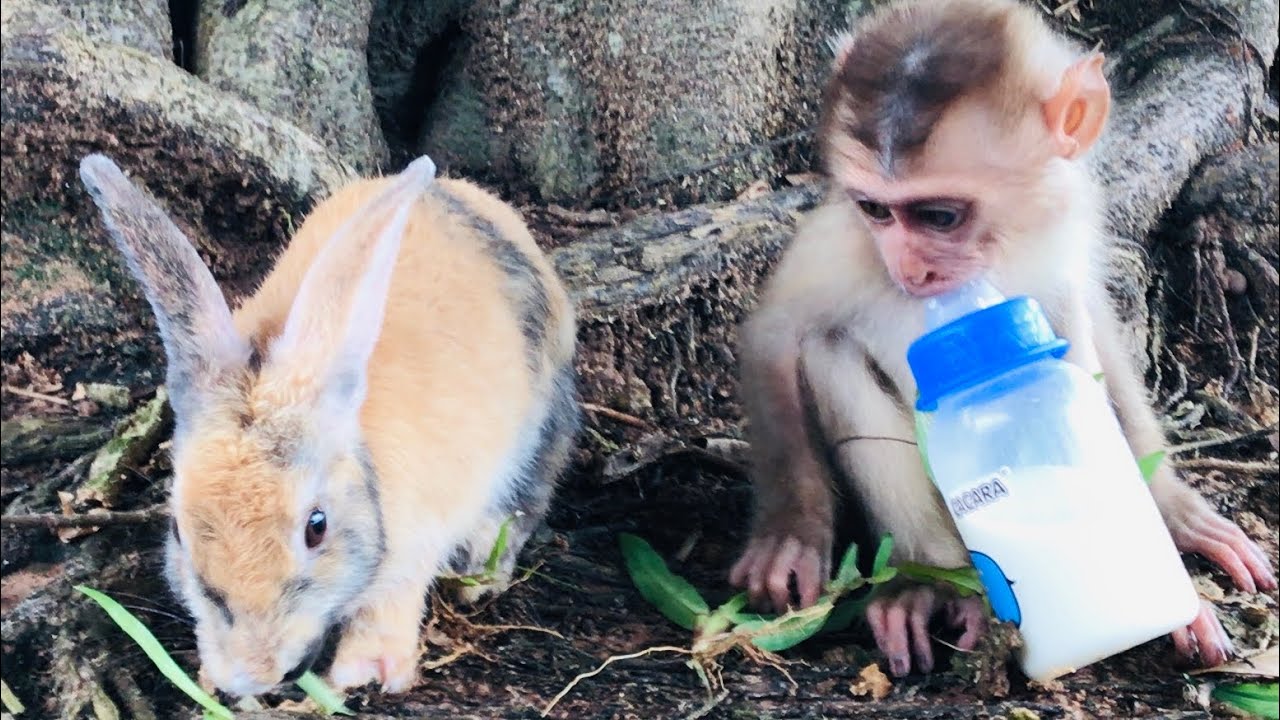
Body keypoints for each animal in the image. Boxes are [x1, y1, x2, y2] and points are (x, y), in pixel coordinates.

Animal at [77, 152, 581, 697]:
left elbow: (392, 600)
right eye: (177, 529)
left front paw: (366, 672)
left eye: (316, 527)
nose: (253, 674)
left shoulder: (417, 544)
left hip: (543, 411)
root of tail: (475, 199)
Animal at [729, 0, 1277, 678]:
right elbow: (775, 334)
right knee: (829, 349)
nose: (910, 269)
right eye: (878, 210)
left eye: (939, 216)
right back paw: (929, 583)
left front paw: (1172, 510)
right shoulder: (845, 241)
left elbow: (1085, 319)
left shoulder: (1070, 212)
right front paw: (792, 532)